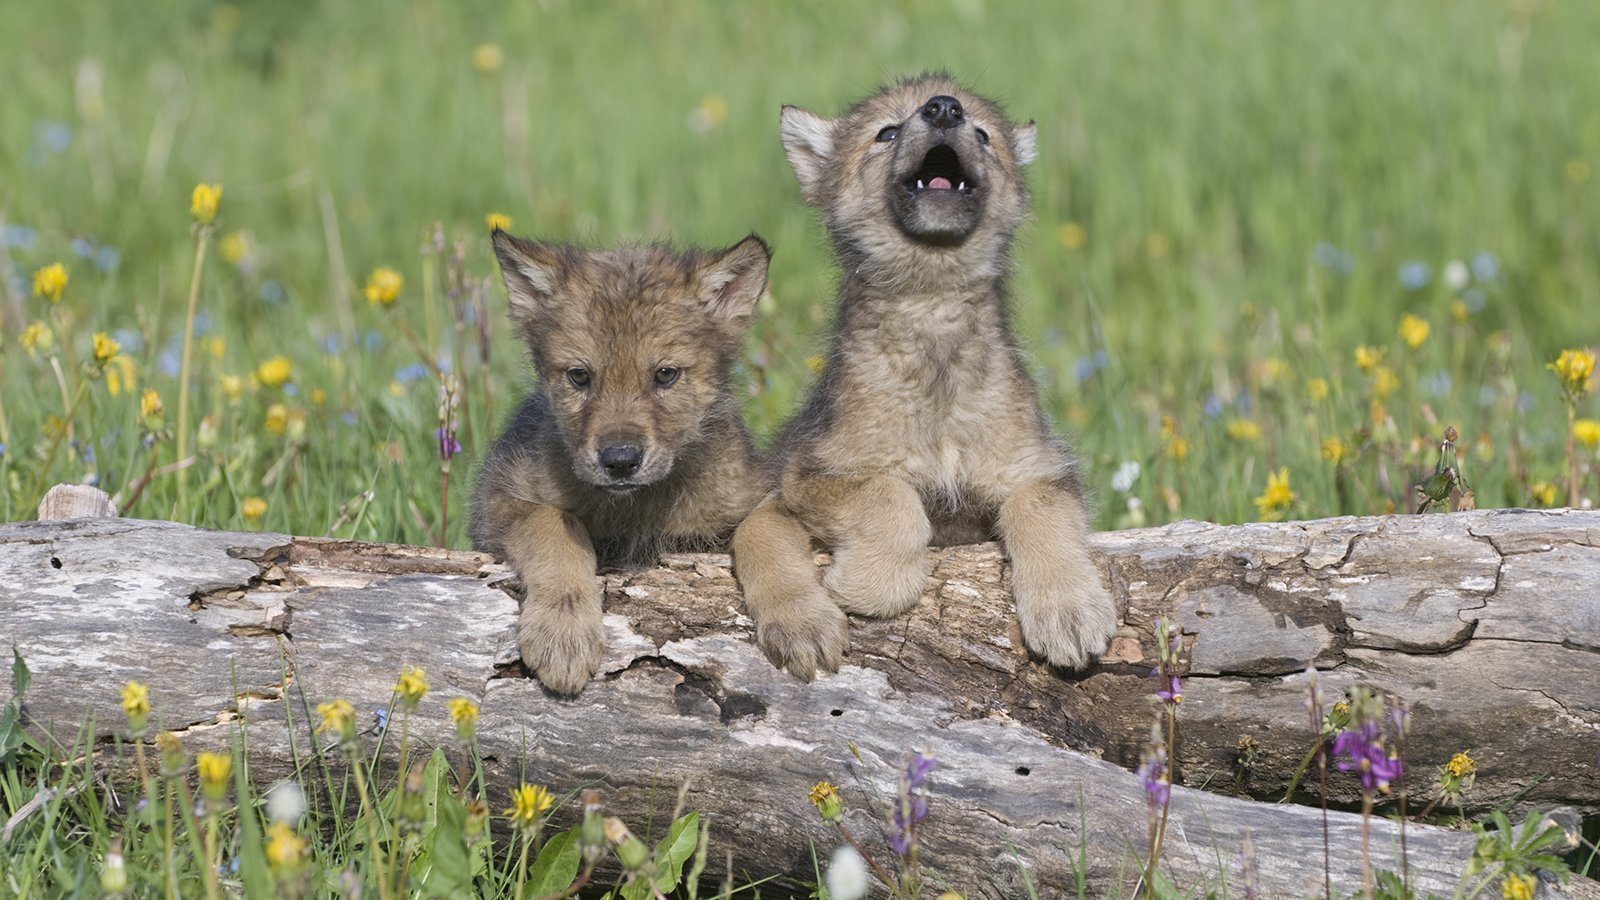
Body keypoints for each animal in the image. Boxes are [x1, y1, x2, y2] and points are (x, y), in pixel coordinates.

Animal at [471, 230, 772, 695]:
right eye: (579, 376)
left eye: (665, 375)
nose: (620, 461)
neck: (636, 509)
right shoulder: (498, 498)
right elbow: (553, 525)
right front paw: (564, 633)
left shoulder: (749, 494)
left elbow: (767, 528)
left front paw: (804, 622)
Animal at [733, 74, 1118, 679]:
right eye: (887, 132)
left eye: (982, 134)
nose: (943, 109)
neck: (933, 315)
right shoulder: (815, 473)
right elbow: (891, 496)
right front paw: (873, 586)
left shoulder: (1038, 469)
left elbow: (1041, 512)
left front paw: (1070, 611)